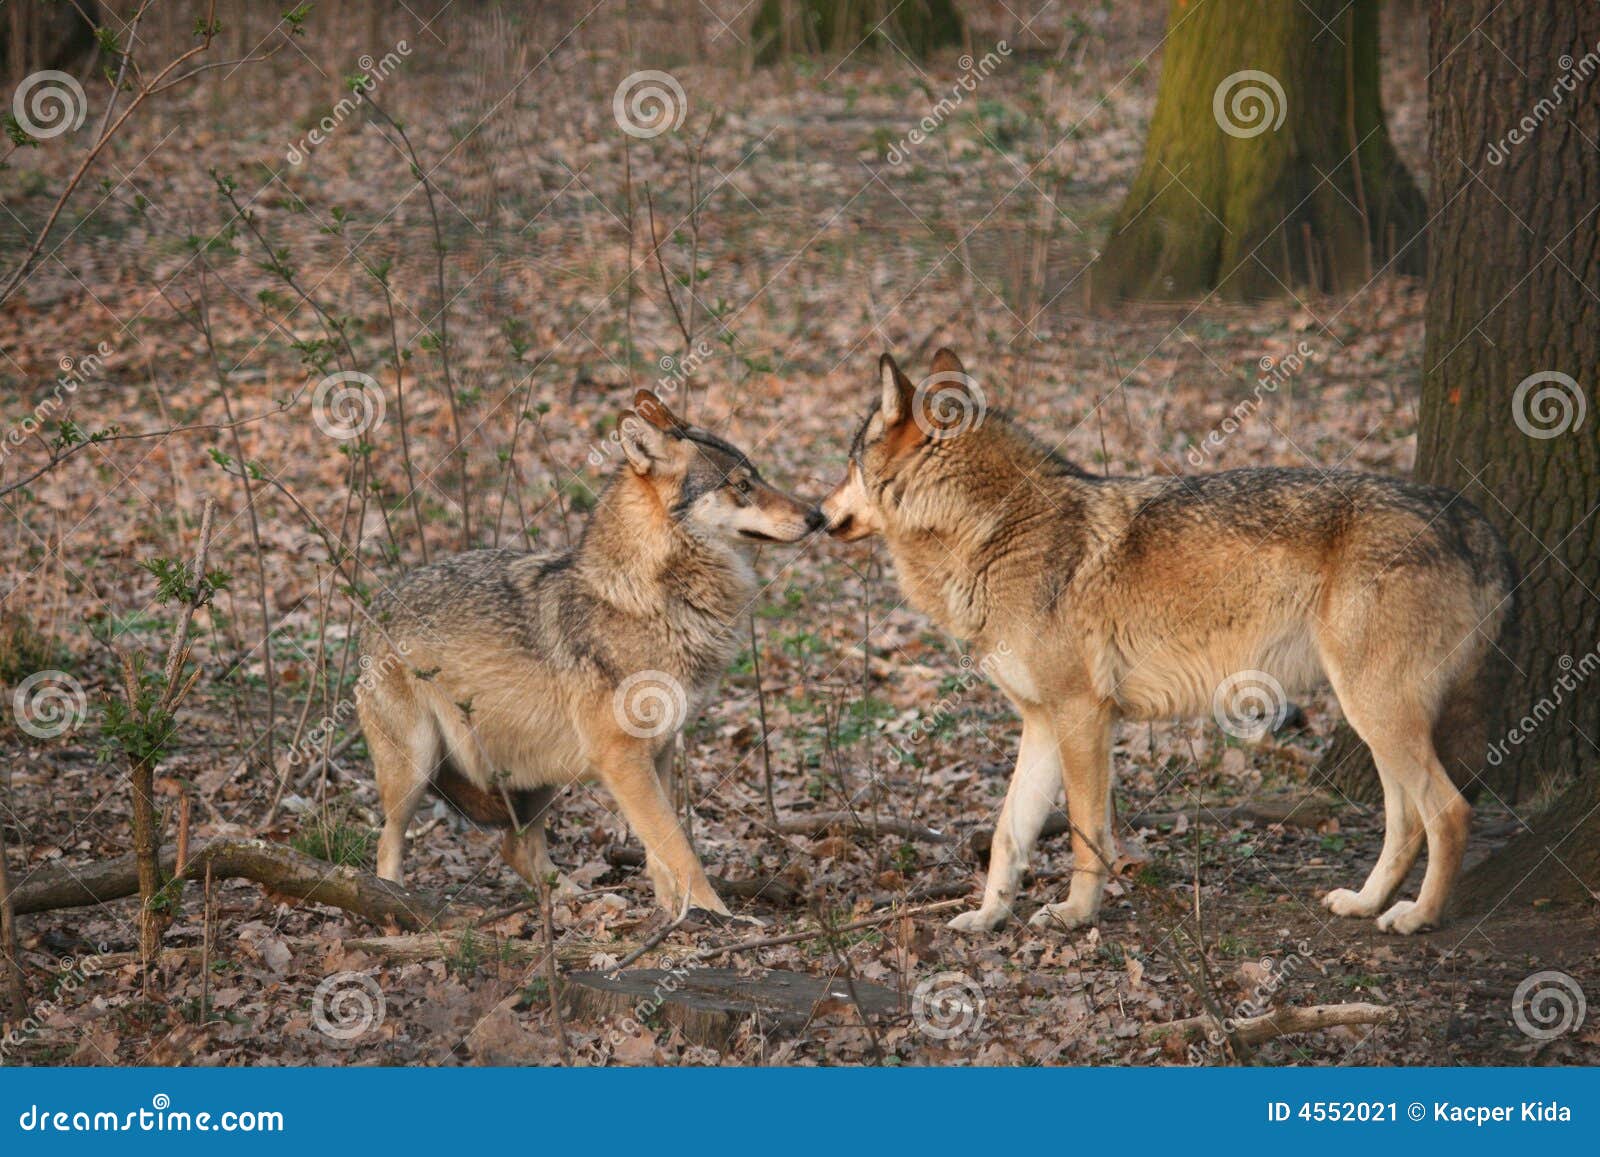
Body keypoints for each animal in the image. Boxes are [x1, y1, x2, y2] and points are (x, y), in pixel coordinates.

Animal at [358, 390, 822, 918]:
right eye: (741, 486)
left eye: (758, 478)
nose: (818, 517)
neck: (652, 598)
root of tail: (376, 604)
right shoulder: (622, 759)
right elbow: (678, 847)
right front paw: (717, 917)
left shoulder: (659, 751)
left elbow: (660, 852)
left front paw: (673, 916)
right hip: (416, 767)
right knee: (388, 841)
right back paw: (395, 901)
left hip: (536, 772)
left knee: (517, 848)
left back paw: (575, 901)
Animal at [822, 349, 1513, 935]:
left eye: (849, 465)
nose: (815, 515)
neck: (994, 530)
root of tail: (1471, 519)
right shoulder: (1041, 722)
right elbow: (1007, 834)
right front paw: (987, 919)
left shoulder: (1082, 716)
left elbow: (1084, 834)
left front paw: (1076, 914)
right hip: (1372, 716)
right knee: (1406, 819)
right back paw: (1367, 903)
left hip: (1376, 709)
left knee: (1449, 812)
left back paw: (1417, 917)